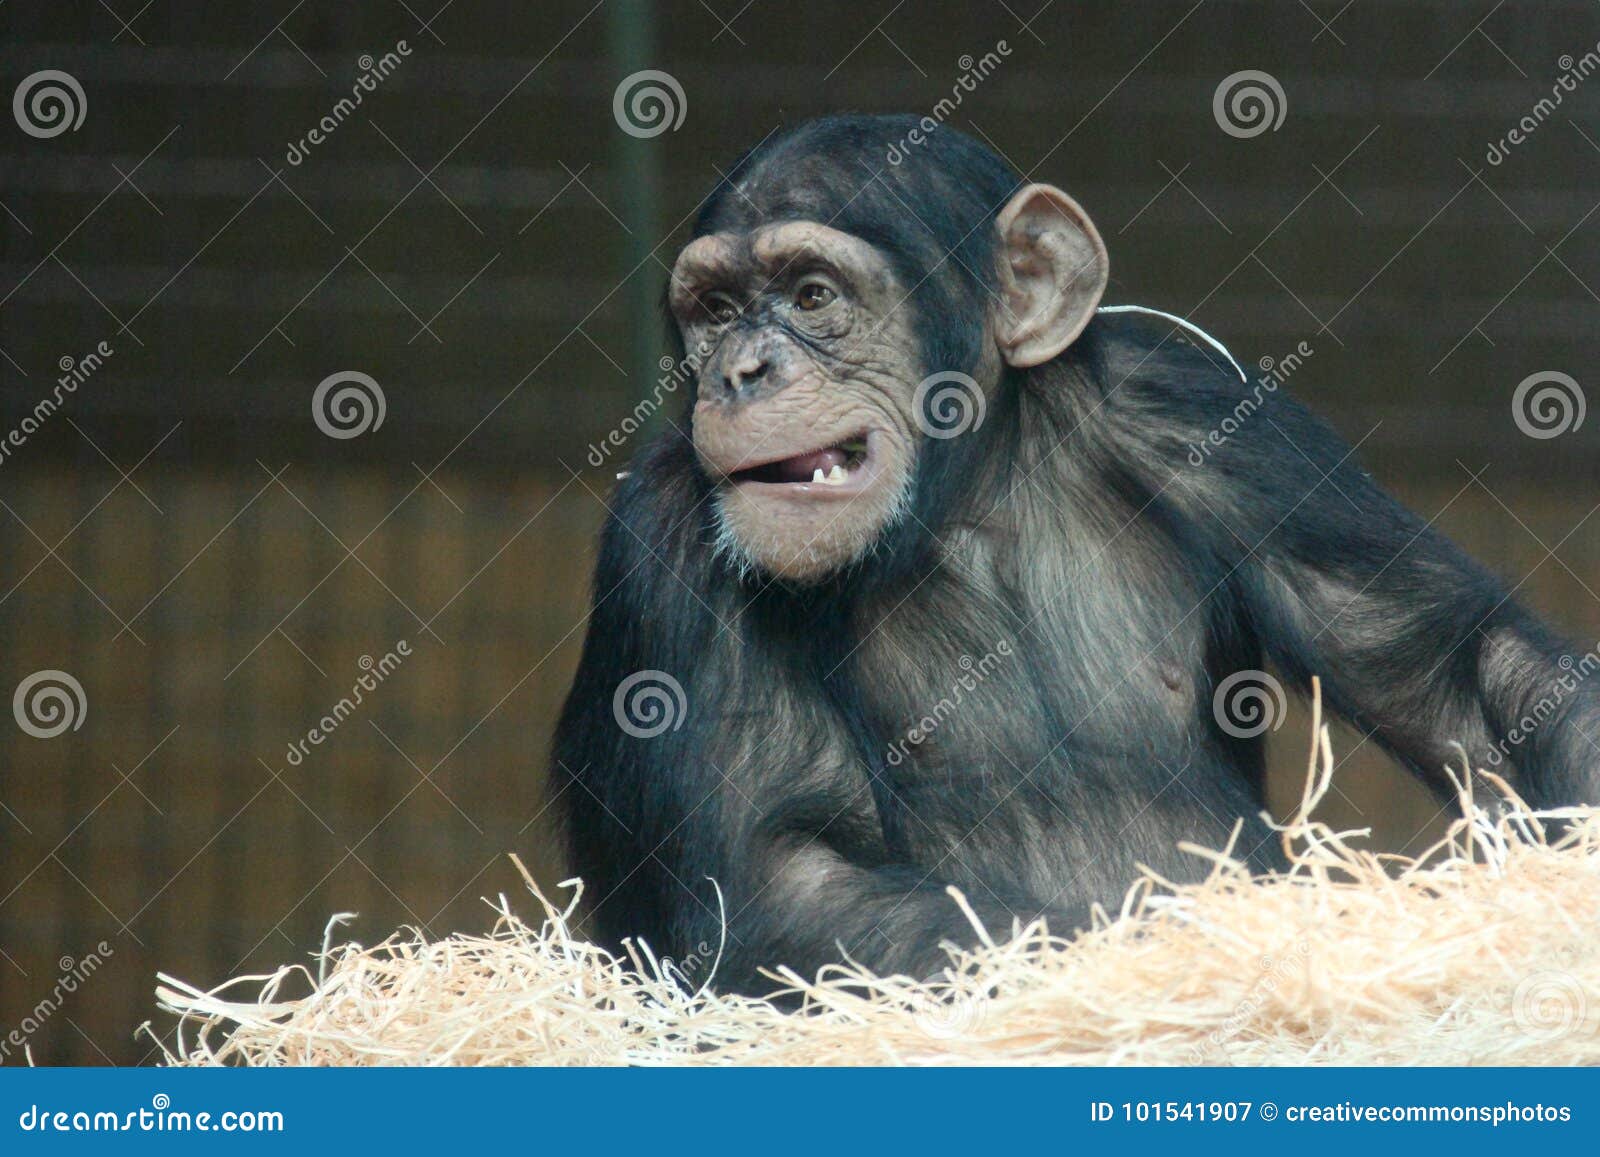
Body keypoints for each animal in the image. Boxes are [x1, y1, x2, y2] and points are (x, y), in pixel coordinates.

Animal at [552, 114, 1599, 992]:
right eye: (715, 309)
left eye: (813, 295)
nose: (741, 370)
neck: (962, 501)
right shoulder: (665, 544)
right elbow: (773, 888)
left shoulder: (1197, 405)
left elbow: (1458, 678)